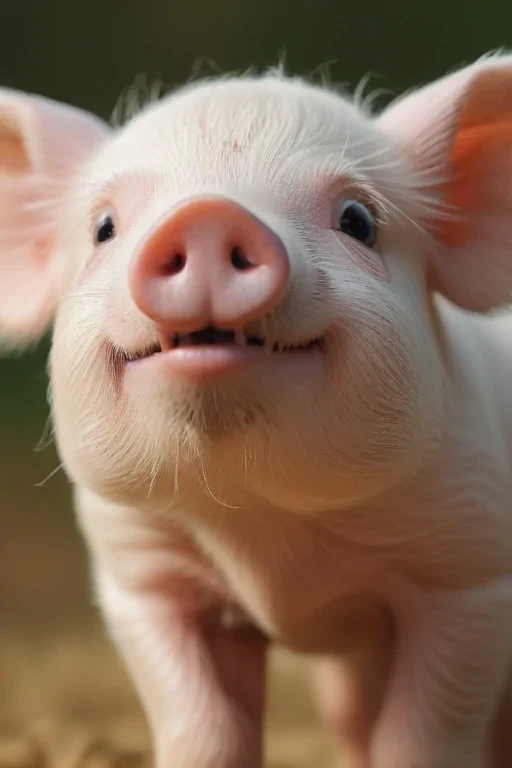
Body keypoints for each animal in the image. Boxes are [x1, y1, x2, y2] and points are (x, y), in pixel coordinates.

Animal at [1, 50, 512, 768]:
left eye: (358, 221)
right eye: (104, 228)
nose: (207, 215)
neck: (260, 524)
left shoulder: (470, 571)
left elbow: (424, 730)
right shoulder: (144, 580)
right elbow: (204, 724)